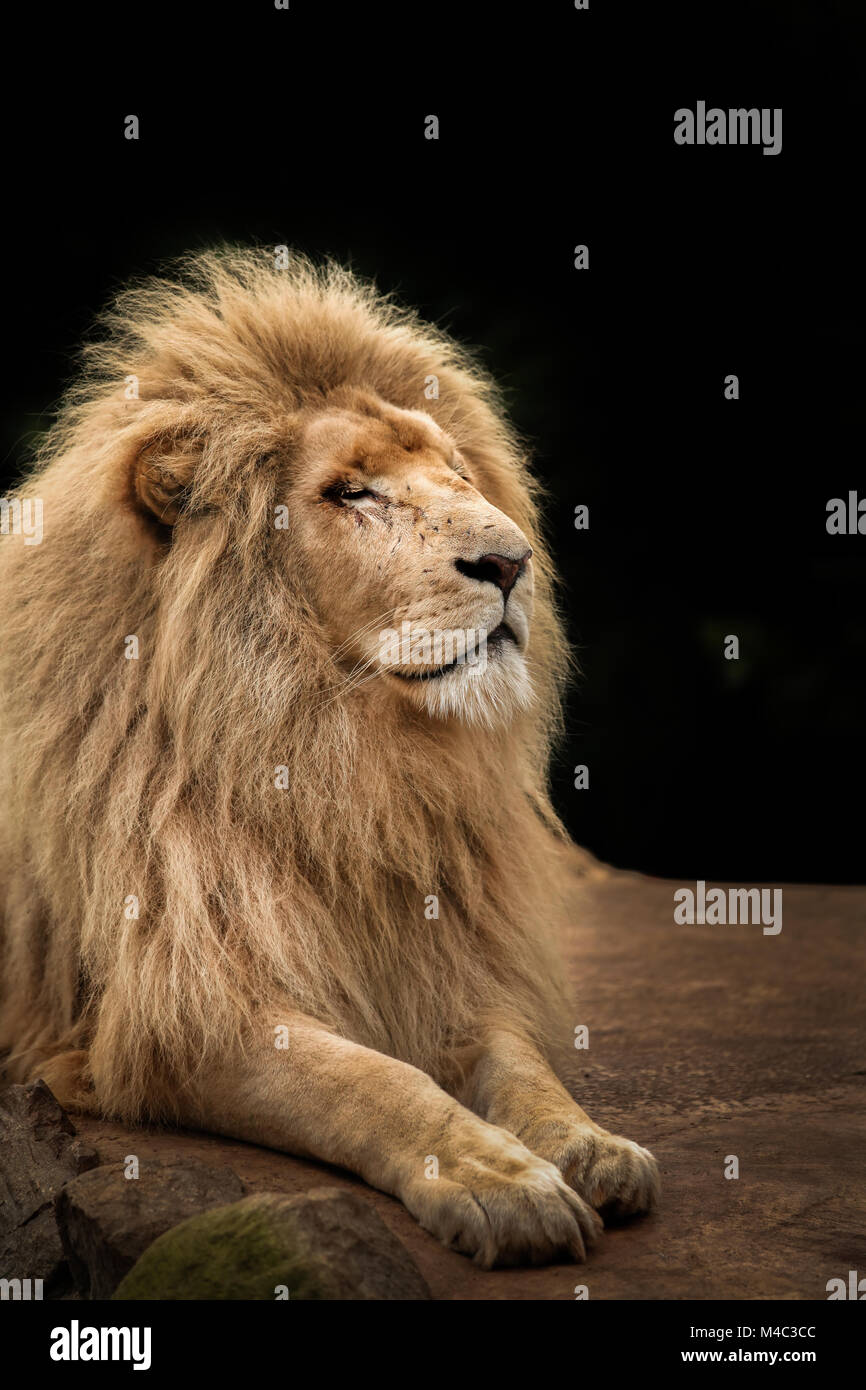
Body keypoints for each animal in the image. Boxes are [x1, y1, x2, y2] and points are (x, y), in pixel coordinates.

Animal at [0, 249, 658, 1268]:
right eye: (352, 493)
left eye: (459, 475)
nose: (513, 562)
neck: (339, 762)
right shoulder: (175, 1016)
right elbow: (373, 1084)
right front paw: (499, 1181)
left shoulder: (448, 955)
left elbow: (522, 1066)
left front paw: (588, 1144)